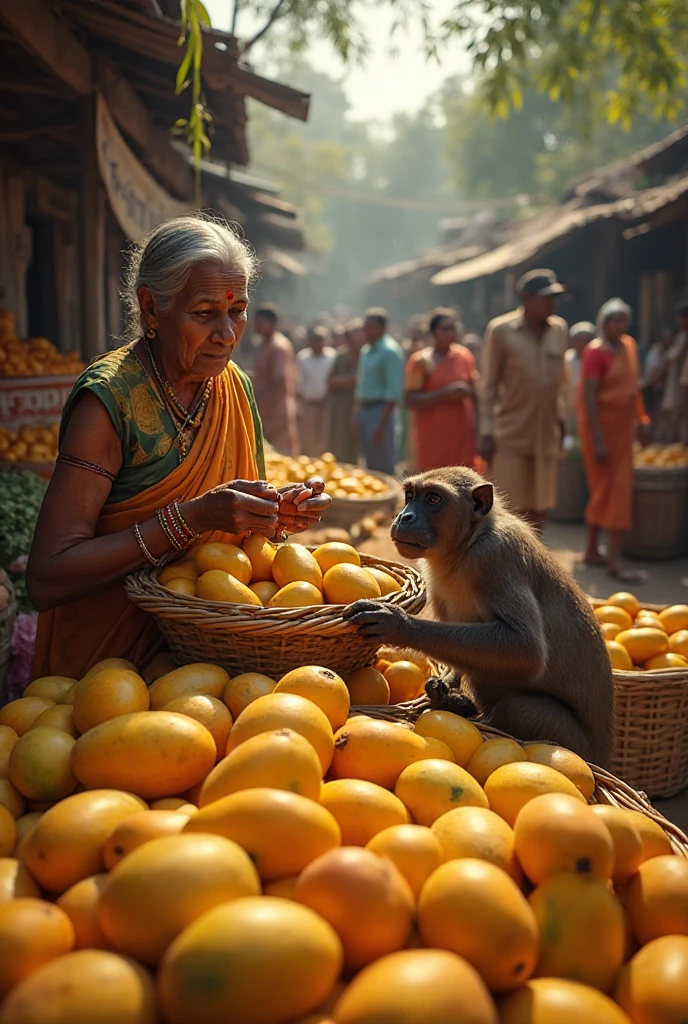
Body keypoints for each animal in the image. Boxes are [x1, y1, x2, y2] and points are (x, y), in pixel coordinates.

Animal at [346, 466, 614, 766]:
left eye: (434, 499)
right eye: (410, 495)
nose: (405, 516)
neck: (465, 545)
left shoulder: (494, 556)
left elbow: (526, 648)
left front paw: (399, 625)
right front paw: (445, 688)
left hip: (568, 738)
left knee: (518, 706)